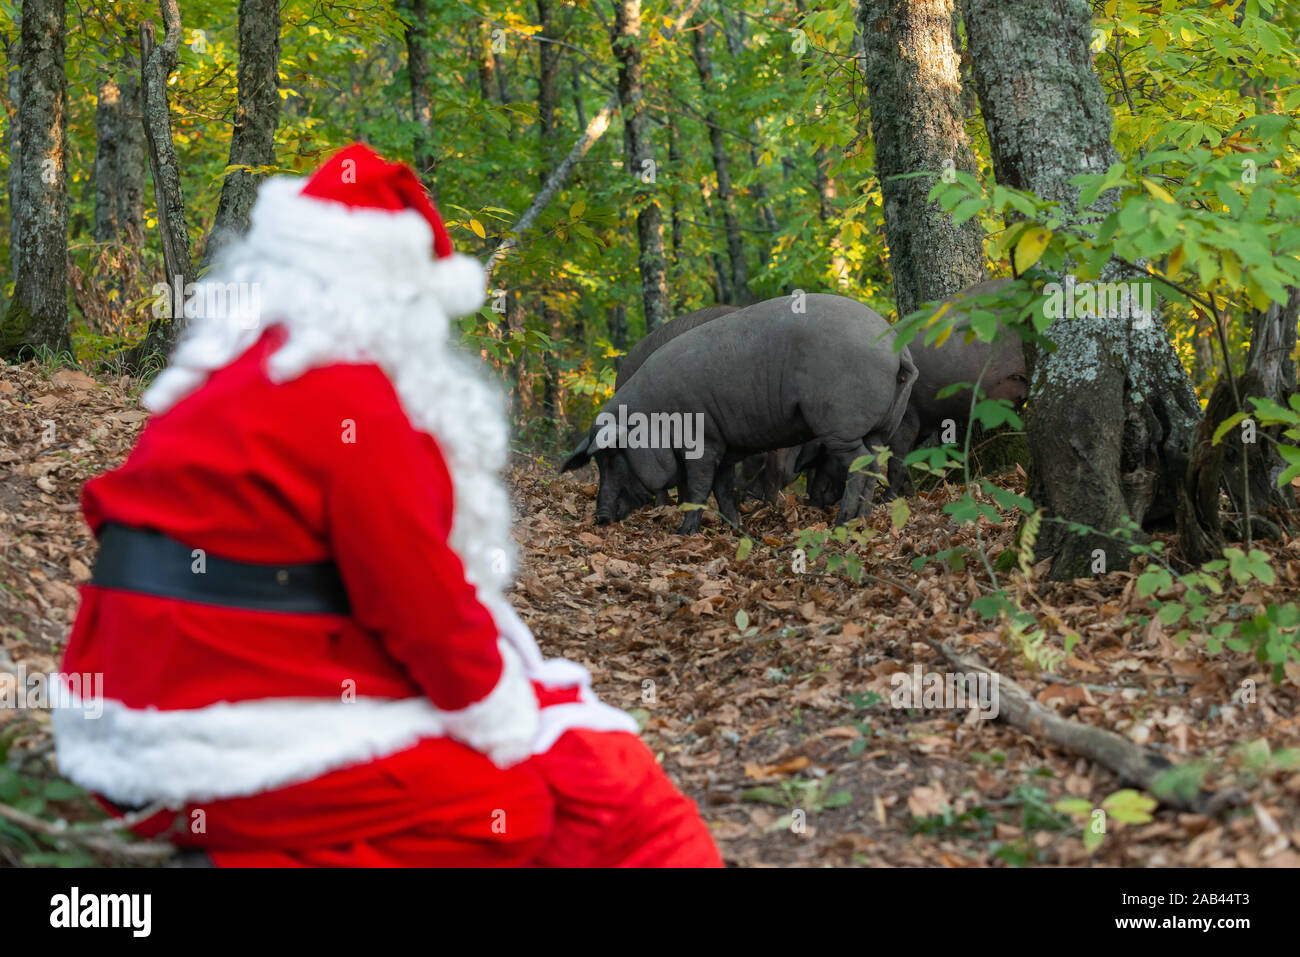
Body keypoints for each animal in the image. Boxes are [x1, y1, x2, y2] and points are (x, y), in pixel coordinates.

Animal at [560, 294, 918, 534]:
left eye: (613, 456)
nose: (599, 517)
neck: (656, 416)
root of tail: (896, 350)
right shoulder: (725, 446)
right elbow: (722, 489)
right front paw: (736, 530)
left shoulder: (702, 442)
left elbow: (700, 487)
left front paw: (684, 532)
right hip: (878, 429)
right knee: (875, 462)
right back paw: (862, 520)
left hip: (841, 427)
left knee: (862, 465)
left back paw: (841, 523)